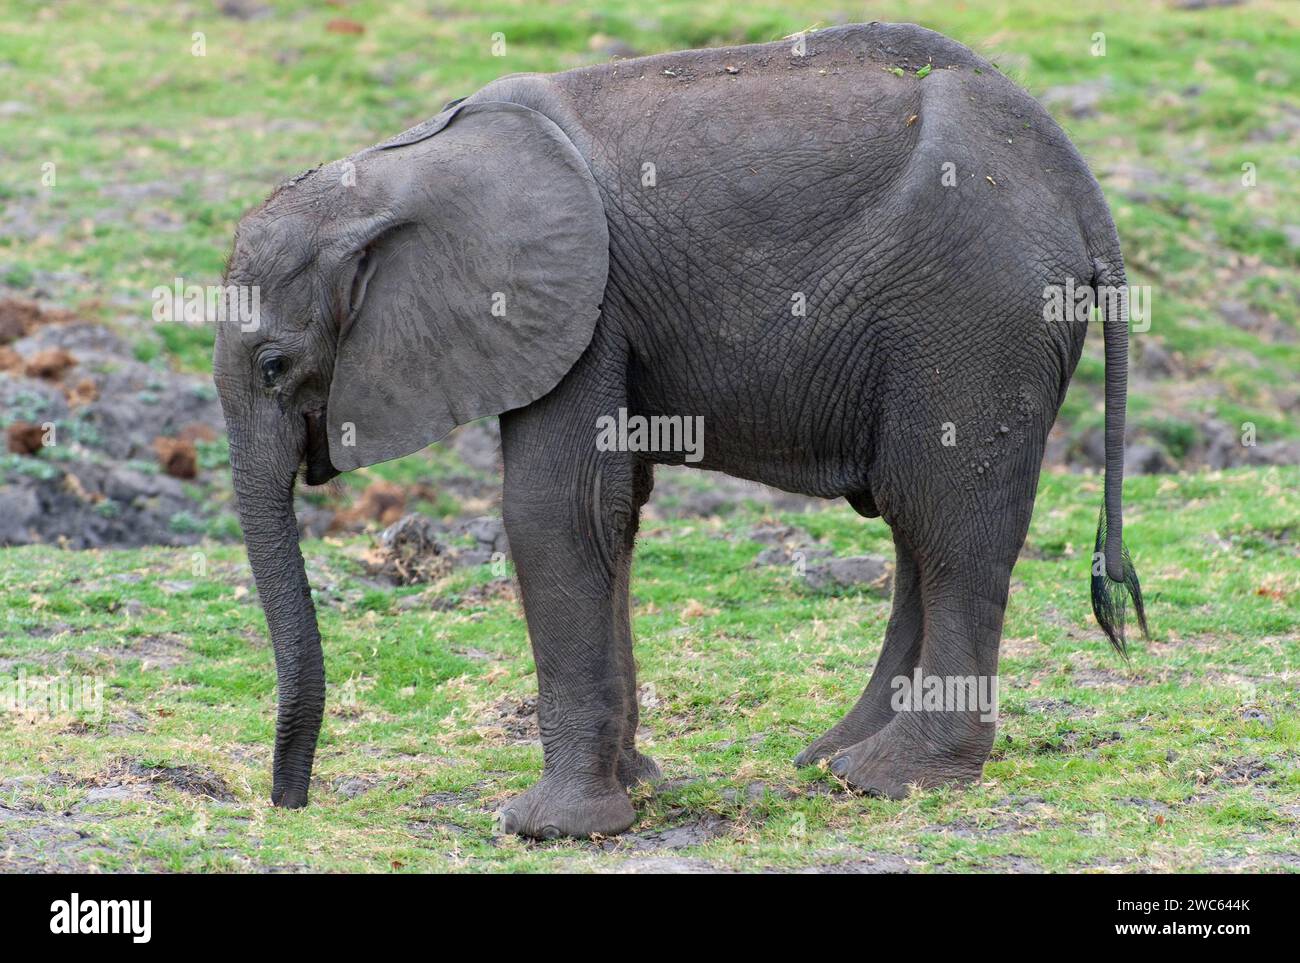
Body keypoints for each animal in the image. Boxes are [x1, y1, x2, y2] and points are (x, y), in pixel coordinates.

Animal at [214, 22, 1147, 838]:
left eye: (273, 365)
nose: (291, 803)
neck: (391, 170)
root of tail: (1078, 183)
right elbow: (615, 508)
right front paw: (637, 786)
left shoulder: (578, 302)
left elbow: (555, 511)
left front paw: (545, 825)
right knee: (918, 525)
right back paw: (835, 762)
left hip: (977, 311)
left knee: (949, 524)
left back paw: (895, 778)